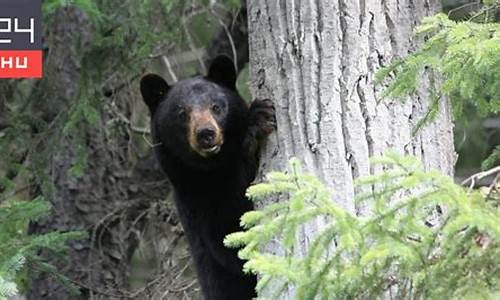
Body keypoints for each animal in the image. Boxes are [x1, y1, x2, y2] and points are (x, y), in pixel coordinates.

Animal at [139, 55, 276, 298]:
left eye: (216, 106)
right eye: (182, 113)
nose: (206, 133)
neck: (214, 168)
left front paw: (261, 115)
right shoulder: (196, 200)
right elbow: (230, 238)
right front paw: (256, 126)